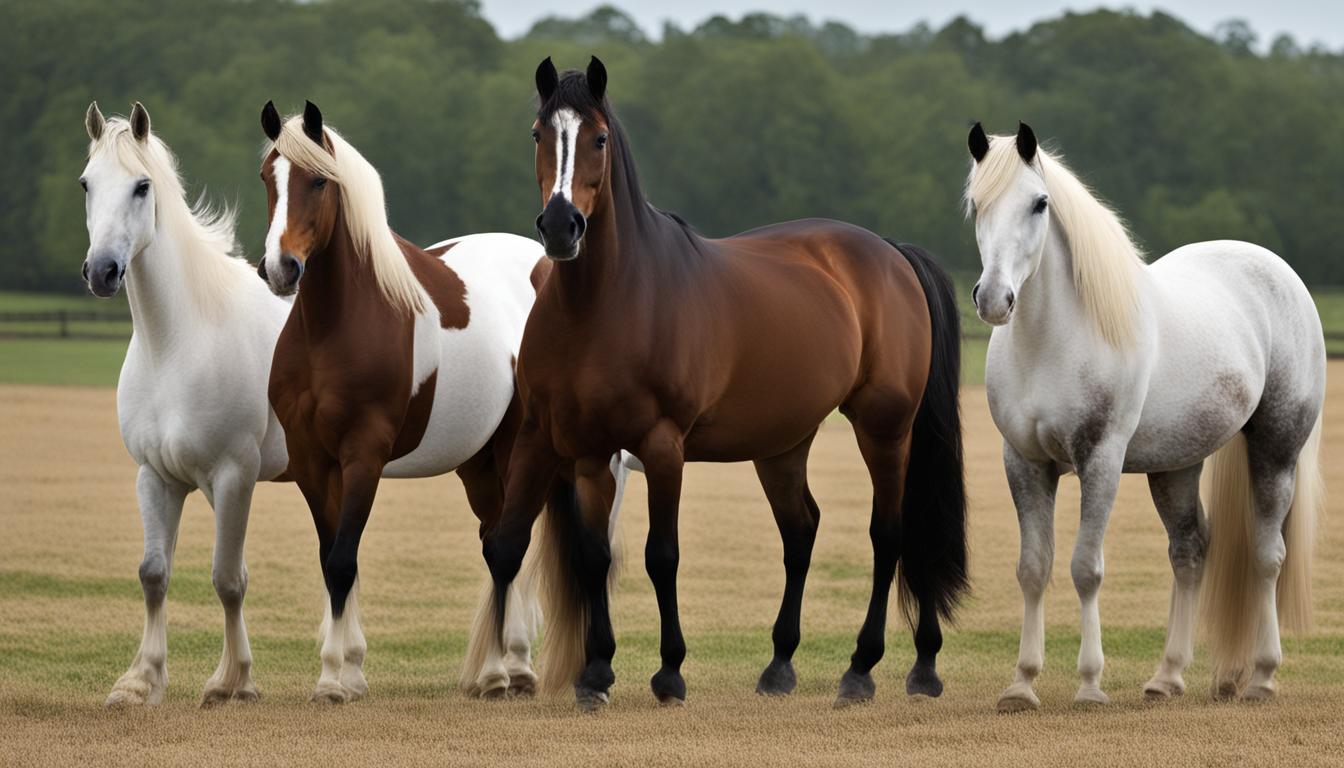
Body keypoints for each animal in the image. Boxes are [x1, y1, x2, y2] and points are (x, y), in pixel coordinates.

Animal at [80, 102, 291, 707]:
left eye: (141, 185)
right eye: (86, 183)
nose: (102, 271)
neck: (178, 342)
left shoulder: (234, 476)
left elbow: (228, 579)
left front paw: (231, 682)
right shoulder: (156, 477)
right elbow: (155, 572)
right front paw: (140, 681)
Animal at [257, 100, 630, 703]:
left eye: (318, 180)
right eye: (268, 177)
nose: (280, 269)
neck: (334, 327)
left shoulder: (363, 456)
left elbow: (342, 561)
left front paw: (335, 678)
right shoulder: (312, 461)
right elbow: (331, 557)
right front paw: (349, 670)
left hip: (519, 453)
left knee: (512, 547)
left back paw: (505, 669)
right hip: (479, 464)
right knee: (496, 541)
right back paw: (504, 669)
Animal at [479, 57, 969, 711]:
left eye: (599, 139)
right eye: (538, 133)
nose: (562, 227)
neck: (603, 305)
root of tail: (891, 252)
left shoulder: (662, 445)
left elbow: (662, 556)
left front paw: (669, 673)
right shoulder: (575, 448)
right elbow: (579, 555)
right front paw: (593, 673)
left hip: (884, 430)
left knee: (892, 534)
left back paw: (869, 669)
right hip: (783, 445)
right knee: (802, 531)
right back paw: (790, 666)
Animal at [964, 122, 1325, 710]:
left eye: (1040, 203)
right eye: (976, 204)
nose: (995, 298)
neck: (1052, 341)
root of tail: (1280, 272)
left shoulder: (1101, 461)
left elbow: (1085, 568)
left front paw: (1090, 684)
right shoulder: (1024, 462)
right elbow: (1033, 569)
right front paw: (1021, 684)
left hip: (1276, 450)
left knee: (1268, 555)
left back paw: (1261, 677)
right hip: (1175, 467)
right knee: (1190, 551)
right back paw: (1168, 676)